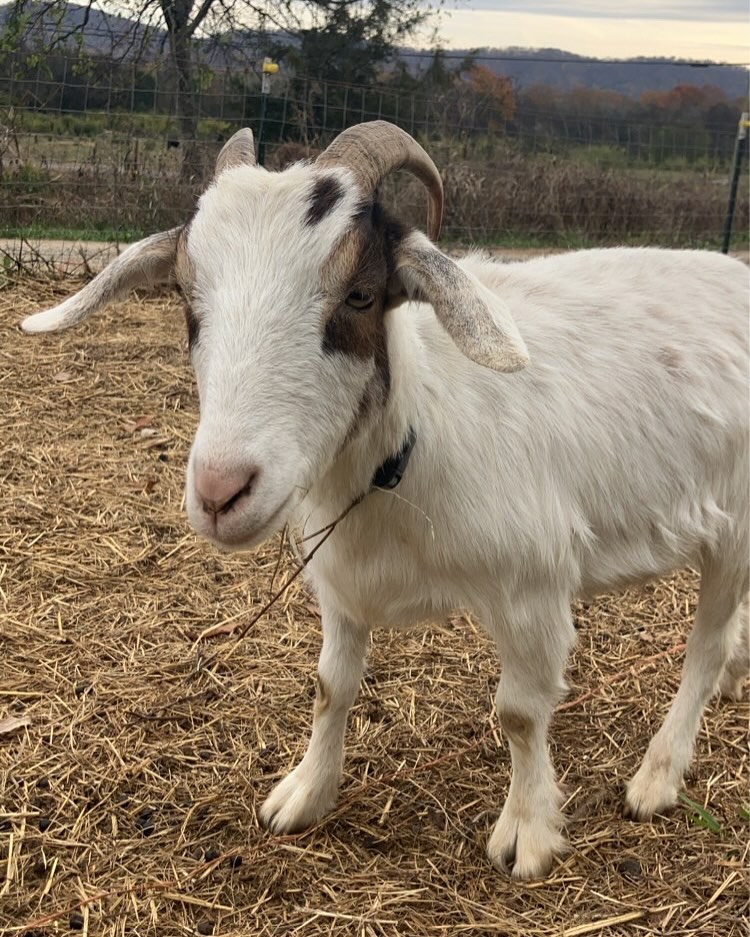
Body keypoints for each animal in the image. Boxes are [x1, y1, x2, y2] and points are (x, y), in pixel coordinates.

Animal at [21, 122, 749, 880]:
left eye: (360, 295)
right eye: (186, 297)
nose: (222, 490)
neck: (413, 433)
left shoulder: (532, 586)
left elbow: (519, 713)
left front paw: (527, 831)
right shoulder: (338, 585)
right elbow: (329, 685)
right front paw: (304, 793)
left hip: (734, 528)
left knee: (705, 642)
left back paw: (659, 774)